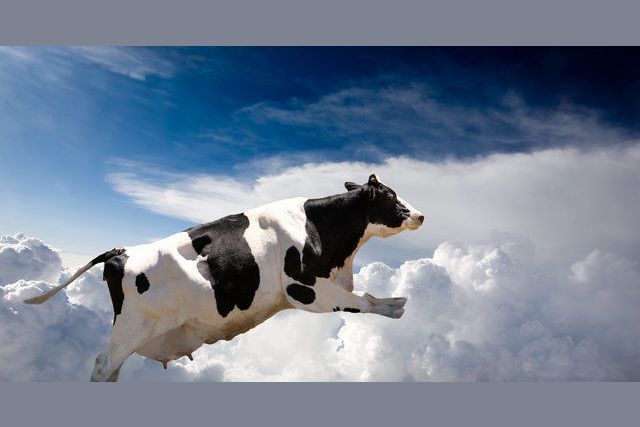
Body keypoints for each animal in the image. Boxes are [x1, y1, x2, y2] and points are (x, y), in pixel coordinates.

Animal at [24, 174, 424, 381]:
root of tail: (119, 251)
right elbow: (363, 302)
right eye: (391, 196)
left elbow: (363, 297)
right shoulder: (304, 290)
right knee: (102, 365)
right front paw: (398, 306)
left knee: (111, 369)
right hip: (129, 328)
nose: (421, 215)